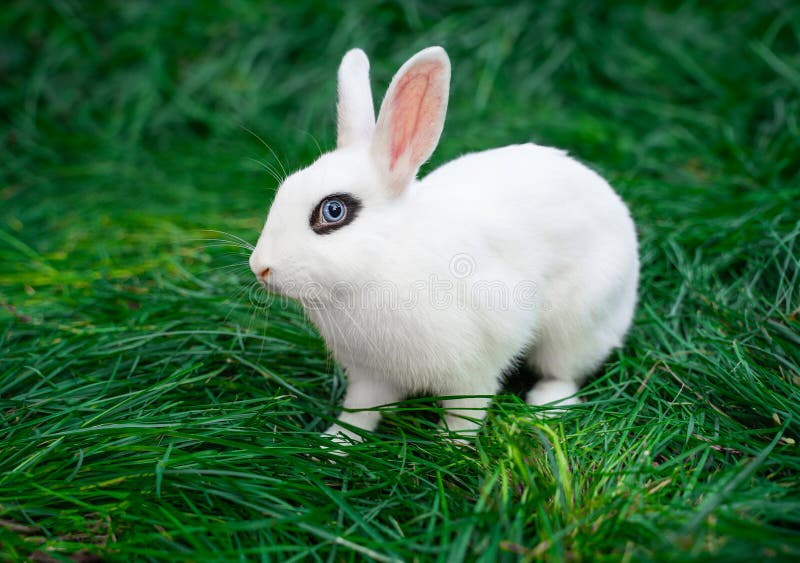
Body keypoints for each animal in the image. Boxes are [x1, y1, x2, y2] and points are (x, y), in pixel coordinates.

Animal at [249, 46, 639, 443]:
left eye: (333, 210)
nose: (259, 267)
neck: (382, 262)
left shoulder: (474, 367)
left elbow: (465, 414)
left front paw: (449, 445)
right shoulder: (370, 375)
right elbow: (360, 411)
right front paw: (336, 442)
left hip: (578, 324)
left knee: (565, 372)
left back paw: (546, 404)